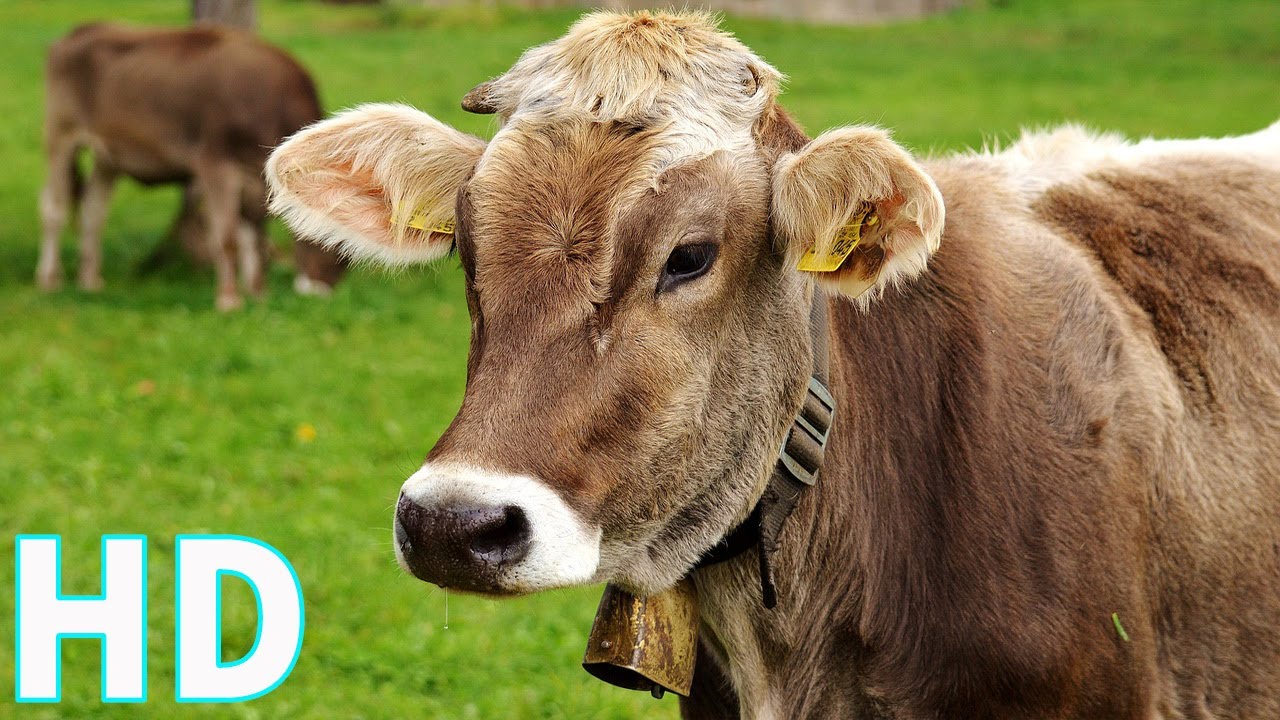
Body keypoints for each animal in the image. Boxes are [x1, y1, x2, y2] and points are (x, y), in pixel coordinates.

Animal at [37, 23, 348, 311]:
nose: (322, 290)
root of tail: (82, 30)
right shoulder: (215, 164)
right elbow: (227, 237)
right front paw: (229, 299)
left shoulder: (254, 180)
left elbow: (254, 237)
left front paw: (257, 295)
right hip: (61, 134)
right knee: (54, 207)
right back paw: (50, 279)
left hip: (108, 156)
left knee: (93, 210)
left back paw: (90, 280)